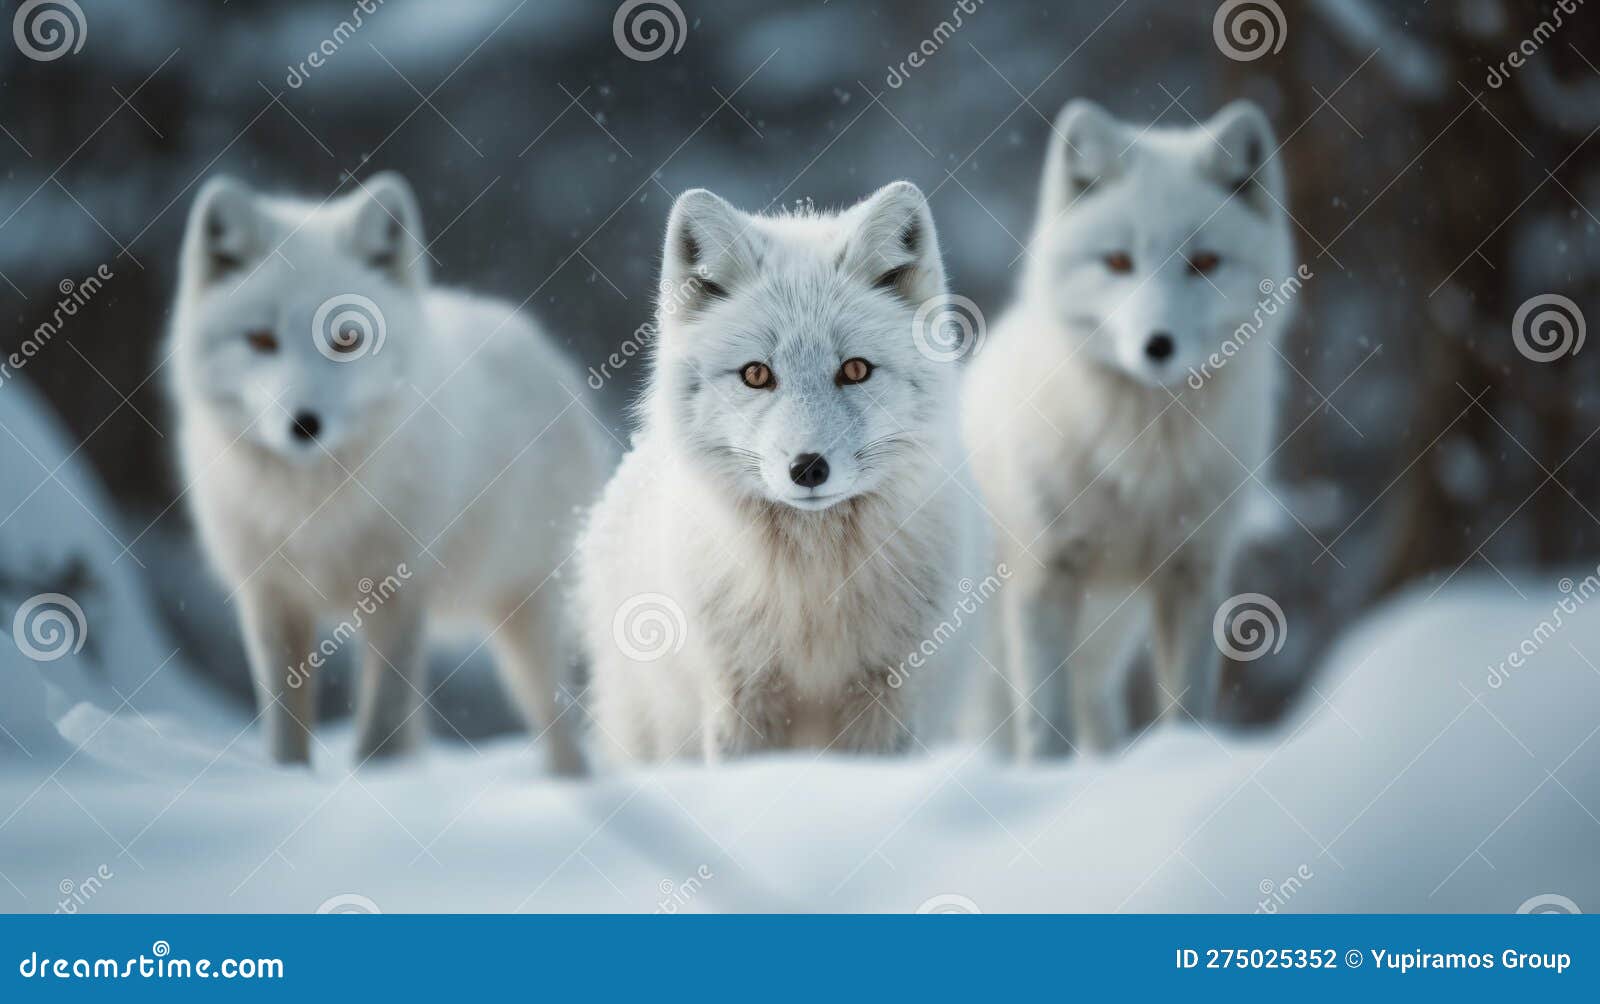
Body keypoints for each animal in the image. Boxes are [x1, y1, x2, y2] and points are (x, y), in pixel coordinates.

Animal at [169, 172, 608, 773]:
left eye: (347, 338)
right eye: (261, 340)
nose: (303, 424)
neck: (314, 512)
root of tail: (542, 347)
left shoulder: (398, 594)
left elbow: (380, 727)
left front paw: (375, 779)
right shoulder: (269, 598)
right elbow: (285, 728)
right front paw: (288, 779)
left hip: (529, 619)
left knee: (559, 725)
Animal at [576, 182, 964, 763]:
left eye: (855, 370)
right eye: (757, 375)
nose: (808, 467)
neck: (812, 586)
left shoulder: (889, 690)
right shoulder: (738, 691)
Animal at [962, 100, 1296, 758]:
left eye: (1205, 263)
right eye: (1118, 262)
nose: (1156, 346)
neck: (1142, 458)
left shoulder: (1191, 575)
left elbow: (1187, 710)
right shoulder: (1043, 578)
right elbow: (1044, 729)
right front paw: (1046, 779)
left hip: (1108, 635)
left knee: (1095, 707)